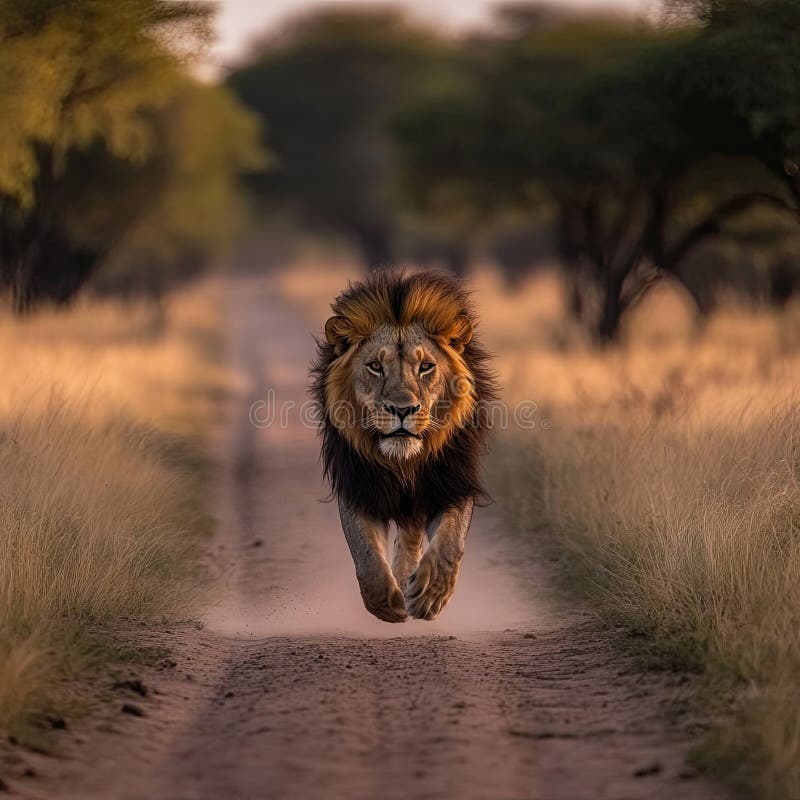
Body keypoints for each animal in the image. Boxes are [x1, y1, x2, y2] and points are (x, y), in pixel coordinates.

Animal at [310, 269, 497, 622]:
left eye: (425, 367)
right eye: (375, 366)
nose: (402, 409)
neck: (403, 461)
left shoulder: (451, 484)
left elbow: (449, 543)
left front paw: (431, 594)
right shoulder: (359, 487)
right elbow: (366, 553)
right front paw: (386, 603)